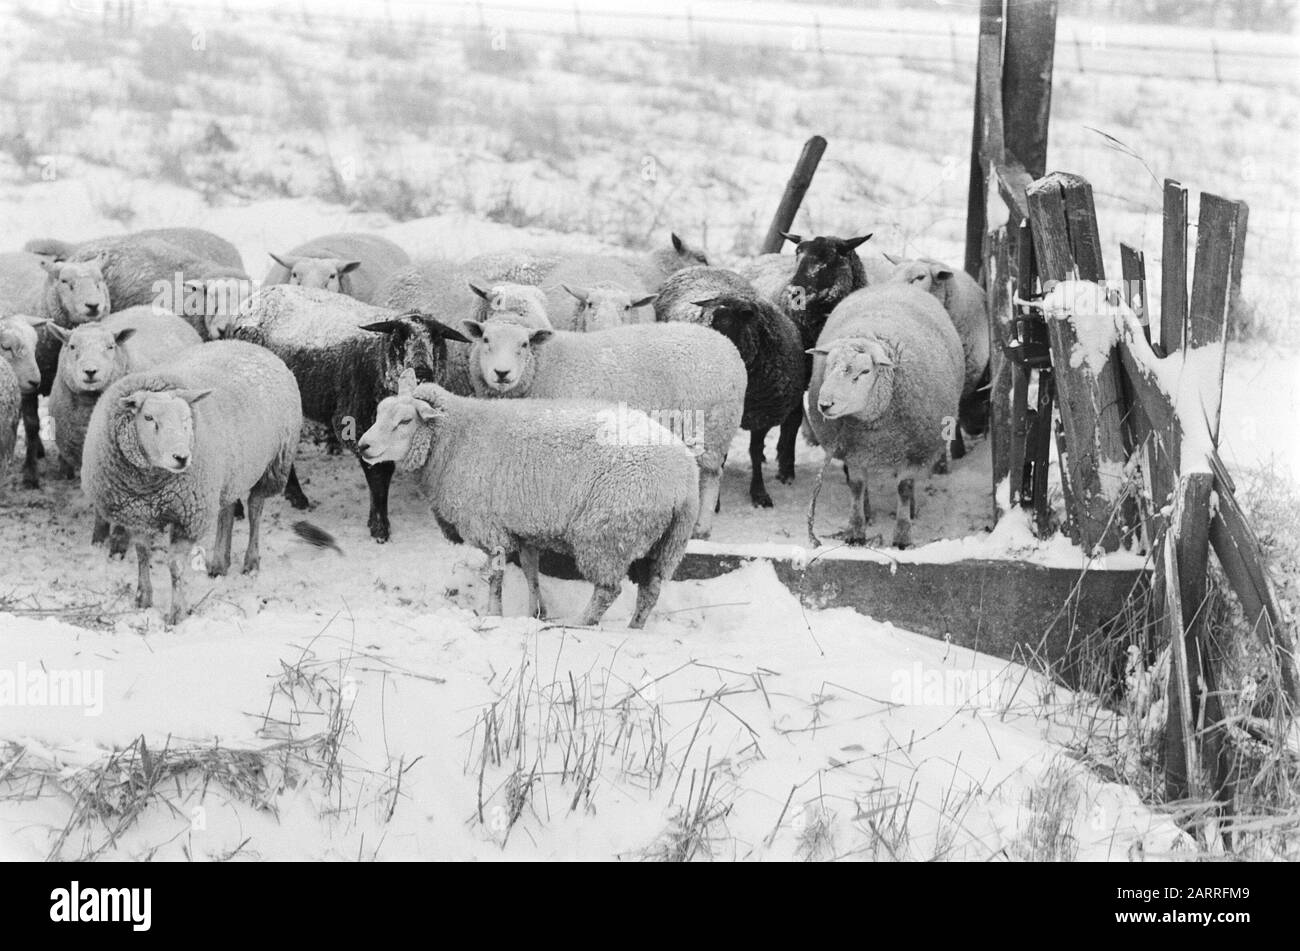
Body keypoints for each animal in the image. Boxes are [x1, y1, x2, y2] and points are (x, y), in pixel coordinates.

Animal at [81, 341, 302, 624]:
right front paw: (143, 598)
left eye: (187, 419)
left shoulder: (188, 516)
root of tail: (252, 345)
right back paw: (219, 563)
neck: (149, 487)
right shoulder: (136, 514)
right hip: (224, 475)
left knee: (255, 509)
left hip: (274, 465)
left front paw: (177, 612)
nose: (182, 457)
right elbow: (142, 554)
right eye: (148, 418)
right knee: (227, 510)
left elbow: (175, 566)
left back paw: (251, 562)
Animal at [231, 284, 469, 542]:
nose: (423, 373)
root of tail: (255, 299)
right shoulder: (358, 424)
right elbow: (379, 476)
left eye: (436, 339)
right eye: (398, 338)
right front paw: (379, 528)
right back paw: (239, 508)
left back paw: (295, 496)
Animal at [357, 384, 699, 628]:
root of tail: (684, 478)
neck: (454, 440)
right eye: (378, 414)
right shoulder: (523, 528)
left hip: (606, 535)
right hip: (664, 542)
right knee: (651, 589)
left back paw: (581, 623)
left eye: (405, 421)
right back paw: (634, 628)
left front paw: (493, 614)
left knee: (608, 589)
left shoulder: (490, 528)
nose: (363, 445)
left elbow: (495, 577)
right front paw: (536, 611)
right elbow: (531, 572)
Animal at [460, 319, 746, 538]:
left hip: (711, 428)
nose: (502, 373)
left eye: (524, 344)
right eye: (485, 339)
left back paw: (702, 527)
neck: (541, 367)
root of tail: (729, 346)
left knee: (710, 477)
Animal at [805, 285, 964, 549]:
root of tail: (895, 284)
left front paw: (902, 536)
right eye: (828, 365)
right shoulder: (855, 450)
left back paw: (911, 510)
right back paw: (868, 512)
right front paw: (856, 531)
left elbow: (904, 489)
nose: (825, 405)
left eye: (864, 372)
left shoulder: (914, 452)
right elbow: (856, 487)